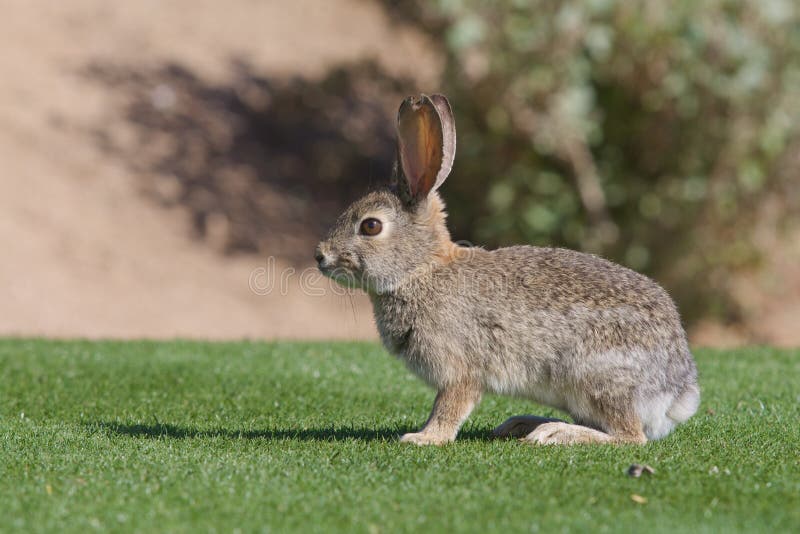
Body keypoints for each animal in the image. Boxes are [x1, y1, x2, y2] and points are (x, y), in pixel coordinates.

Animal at [315, 94, 700, 446]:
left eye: (370, 226)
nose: (321, 256)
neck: (421, 269)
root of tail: (677, 390)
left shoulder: (459, 369)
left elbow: (449, 406)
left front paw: (423, 438)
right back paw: (523, 424)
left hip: (596, 378)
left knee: (629, 436)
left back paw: (554, 433)